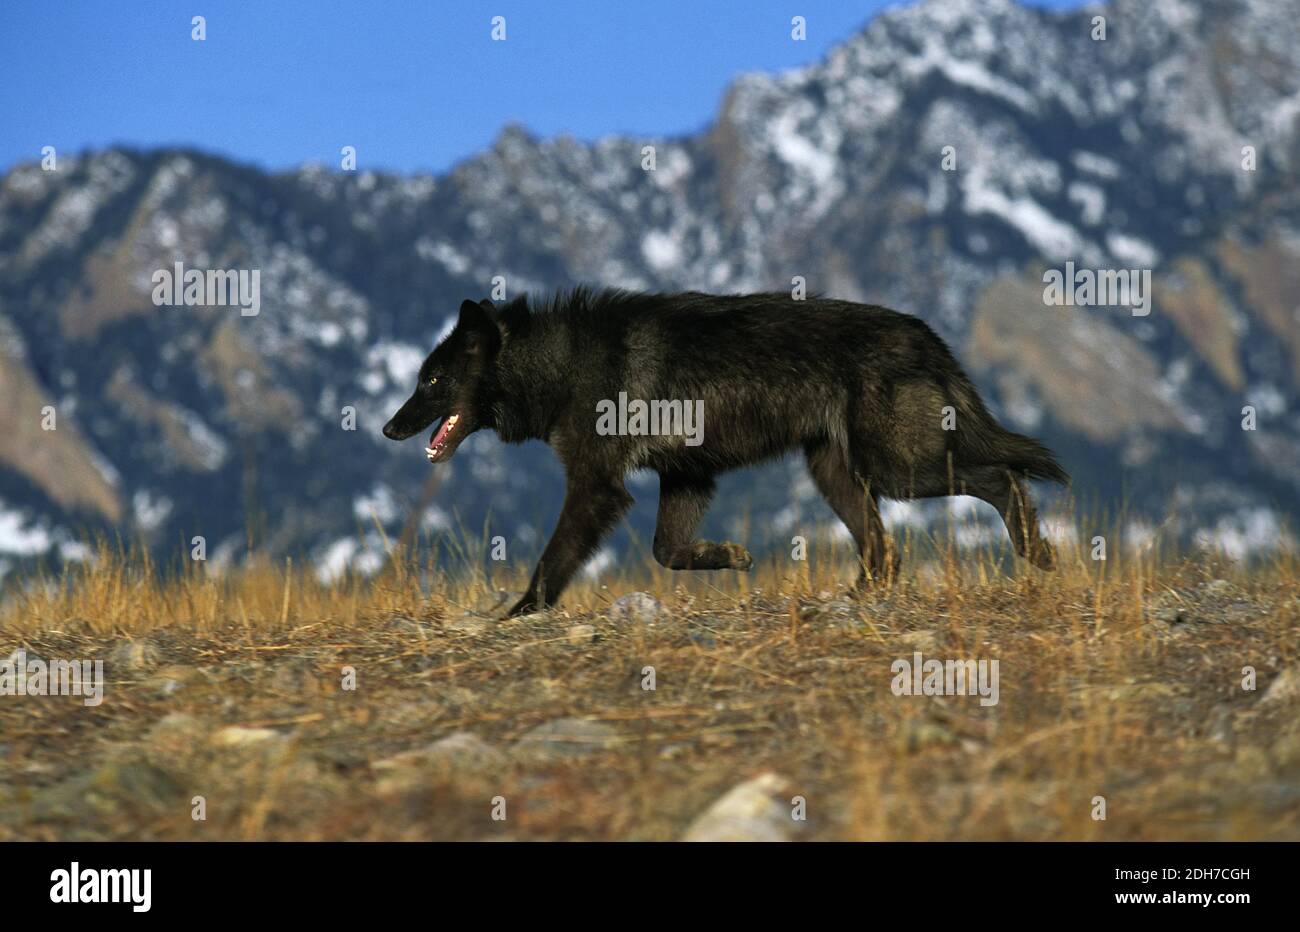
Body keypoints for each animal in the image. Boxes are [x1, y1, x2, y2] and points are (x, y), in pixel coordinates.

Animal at [383, 289, 1068, 616]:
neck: (562, 364)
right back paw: (848, 602)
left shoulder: (597, 487)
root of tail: (926, 334)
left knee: (1003, 478)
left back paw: (1038, 553)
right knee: (884, 551)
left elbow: (553, 561)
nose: (389, 429)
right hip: (839, 476)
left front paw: (522, 613)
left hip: (898, 468)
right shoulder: (687, 476)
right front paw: (730, 557)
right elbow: (667, 552)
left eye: (431, 381)